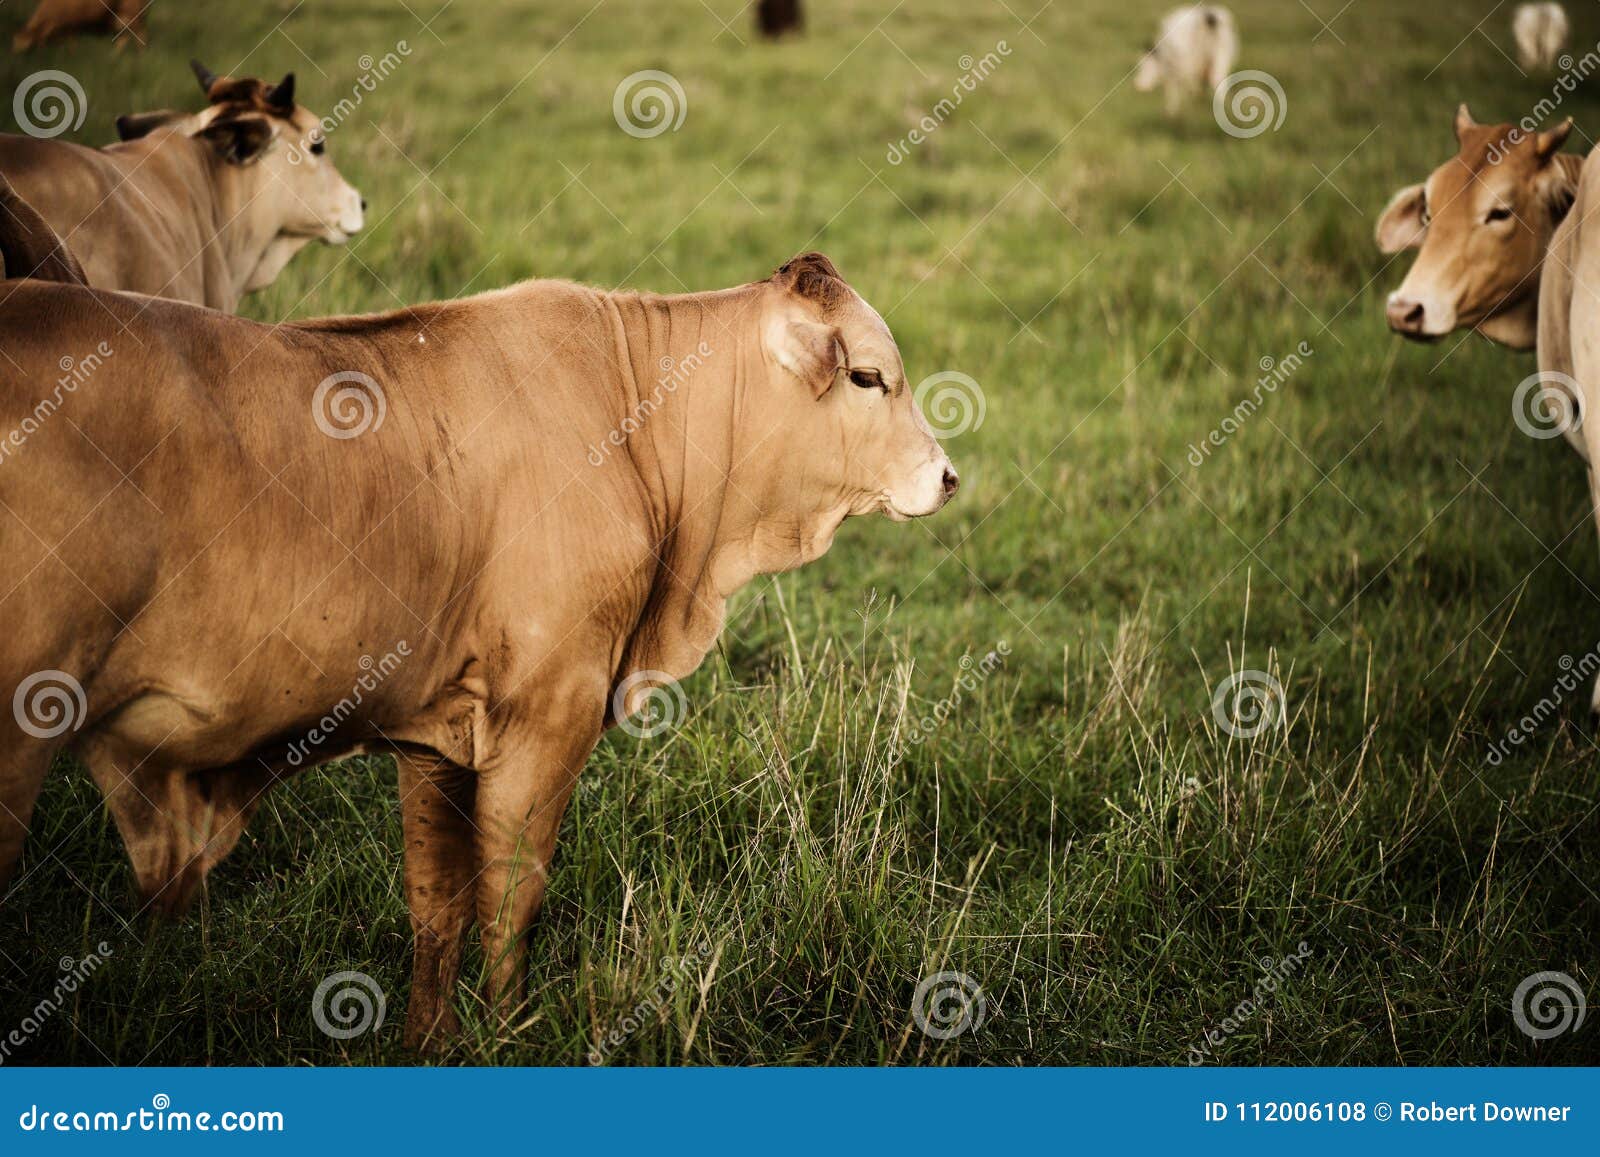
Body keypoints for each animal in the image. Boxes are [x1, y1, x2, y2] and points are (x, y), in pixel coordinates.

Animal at [0, 251, 960, 1049]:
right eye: (869, 376)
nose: (948, 478)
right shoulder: (549, 712)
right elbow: (510, 897)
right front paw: (511, 1033)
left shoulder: (434, 736)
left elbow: (438, 906)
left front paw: (430, 1039)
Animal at [12, 0, 150, 52]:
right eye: (15, 41)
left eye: (24, 42)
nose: (14, 53)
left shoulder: (71, 23)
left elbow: (71, 39)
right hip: (121, 17)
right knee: (125, 36)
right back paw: (114, 56)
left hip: (131, 13)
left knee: (140, 33)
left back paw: (140, 53)